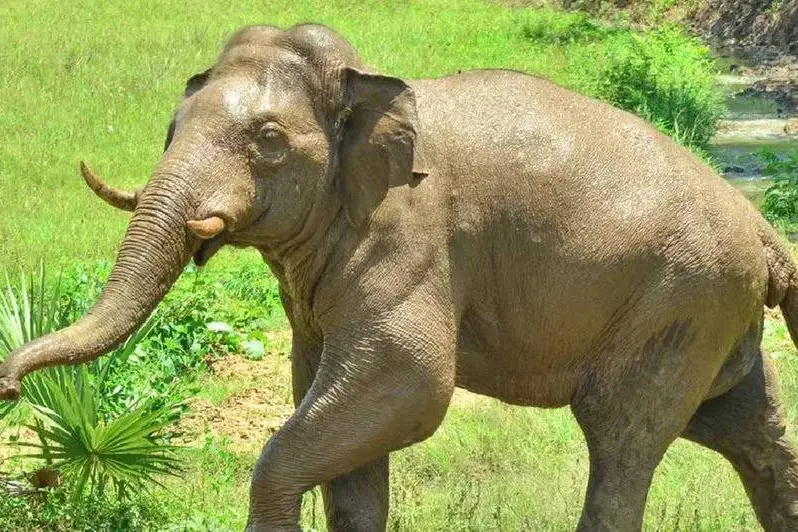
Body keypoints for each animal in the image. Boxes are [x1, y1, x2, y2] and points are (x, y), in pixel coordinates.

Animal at [2, 23, 798, 531]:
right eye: (171, 127)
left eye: (268, 140)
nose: (9, 385)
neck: (365, 86)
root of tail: (765, 233)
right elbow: (339, 427)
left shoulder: (407, 240)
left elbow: (409, 382)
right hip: (709, 320)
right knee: (751, 436)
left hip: (679, 305)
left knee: (622, 442)